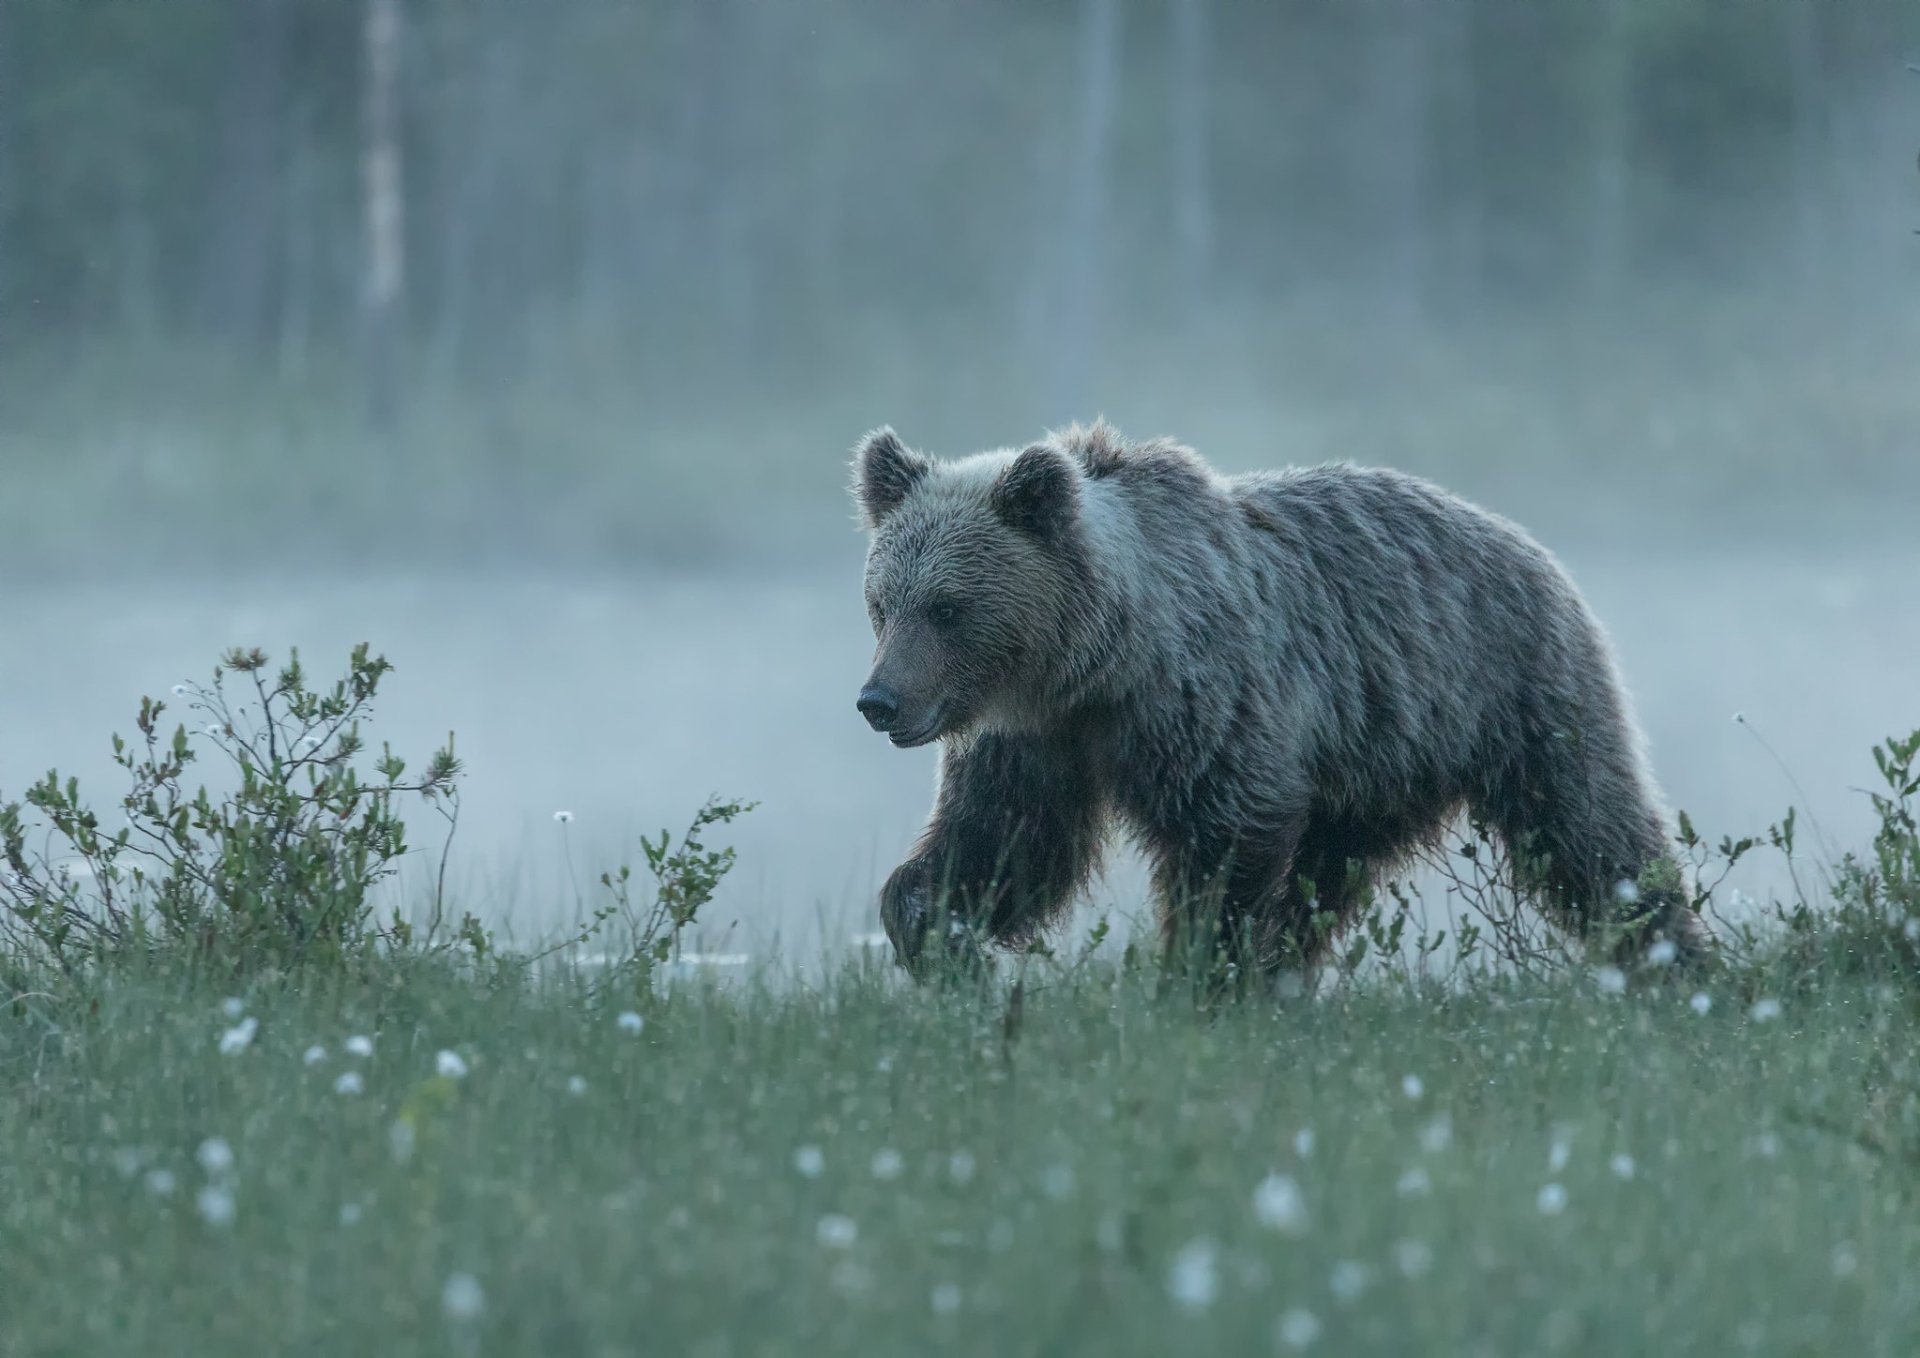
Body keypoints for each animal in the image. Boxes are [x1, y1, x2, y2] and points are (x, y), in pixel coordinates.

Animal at [850, 420, 1710, 984]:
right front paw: (937, 937)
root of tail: (1529, 543)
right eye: (883, 603)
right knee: (1325, 876)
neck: (1099, 664)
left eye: (948, 607)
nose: (878, 700)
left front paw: (1201, 974)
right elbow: (1006, 845)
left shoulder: (1209, 699)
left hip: (1512, 692)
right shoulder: (1035, 740)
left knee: (1590, 831)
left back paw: (1678, 964)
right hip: (1372, 764)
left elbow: (1227, 837)